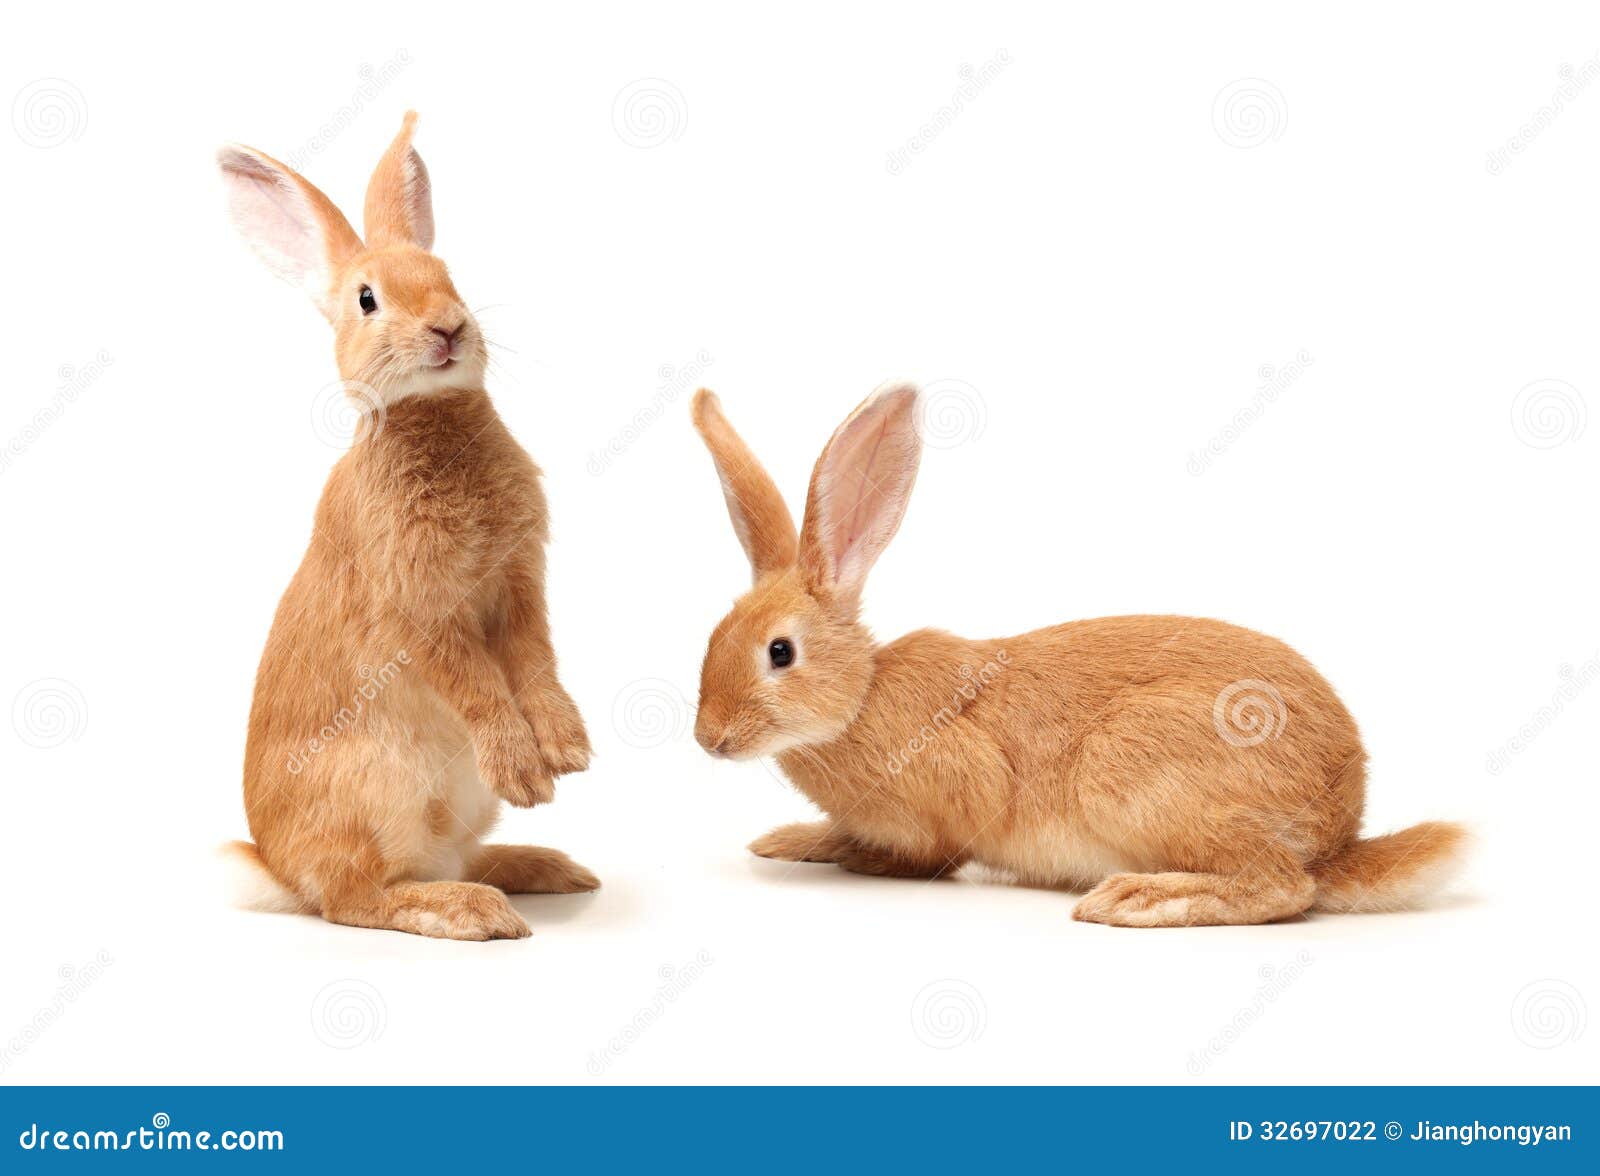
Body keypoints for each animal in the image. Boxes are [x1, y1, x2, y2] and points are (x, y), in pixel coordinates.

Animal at [216, 113, 595, 940]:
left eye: (449, 276)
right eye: (367, 300)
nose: (448, 328)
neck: (434, 416)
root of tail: (277, 868)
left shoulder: (519, 583)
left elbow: (535, 661)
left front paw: (567, 751)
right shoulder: (419, 611)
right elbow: (478, 684)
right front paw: (524, 770)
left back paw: (547, 867)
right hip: (375, 793)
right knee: (356, 898)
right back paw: (473, 910)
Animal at [689, 383, 1467, 926]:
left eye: (780, 652)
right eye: (713, 636)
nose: (709, 739)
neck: (858, 701)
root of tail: (1340, 827)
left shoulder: (947, 811)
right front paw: (787, 839)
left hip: (1133, 770)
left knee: (1284, 885)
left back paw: (1135, 900)